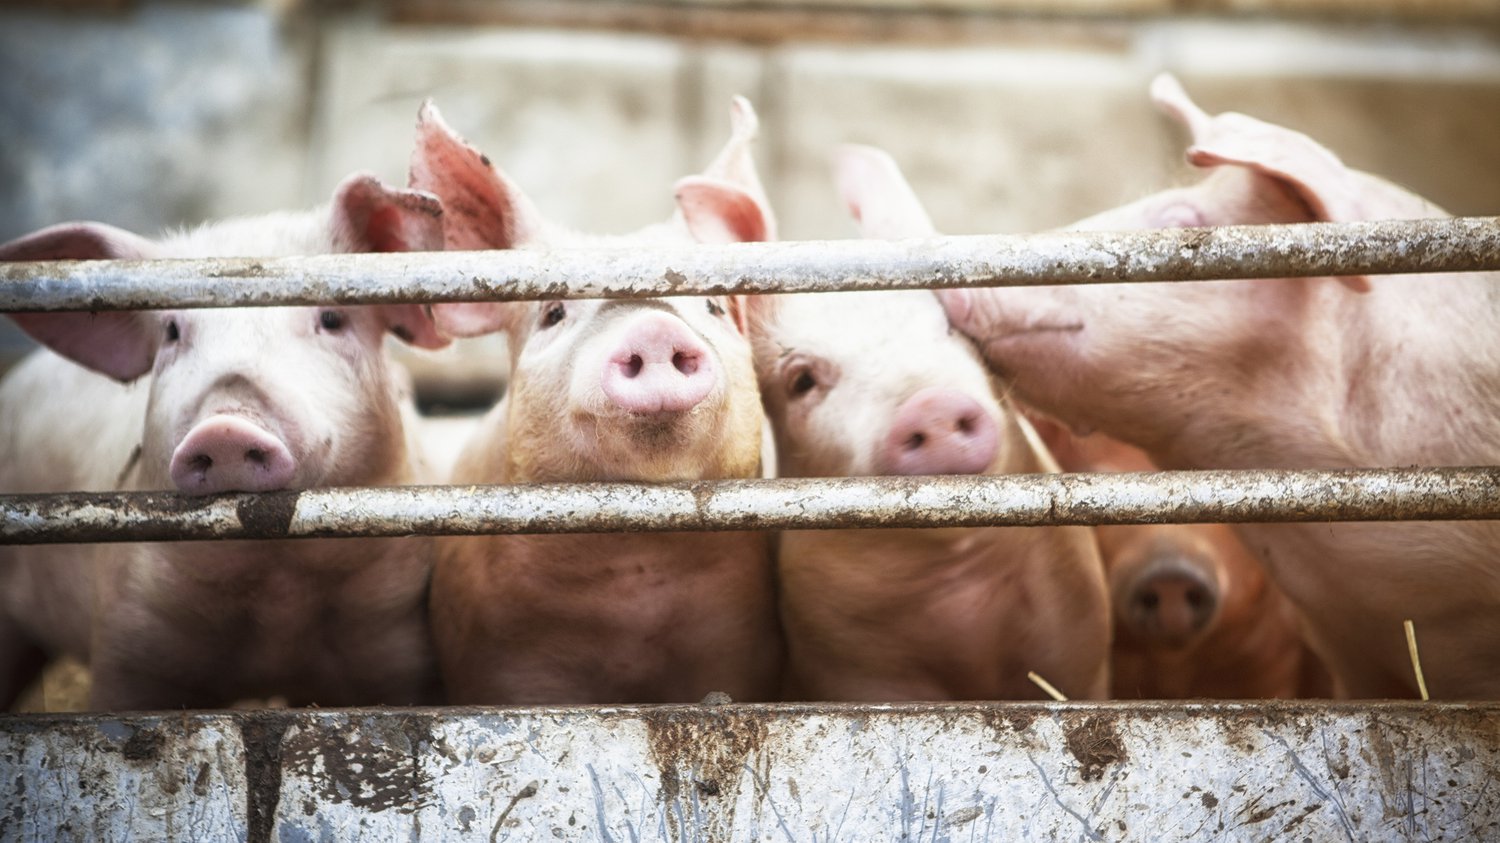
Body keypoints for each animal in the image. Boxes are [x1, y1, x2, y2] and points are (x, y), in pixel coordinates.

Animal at [0, 172, 451, 710]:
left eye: (332, 320)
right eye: (172, 332)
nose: (227, 428)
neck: (280, 594)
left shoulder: (396, 645)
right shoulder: (132, 640)